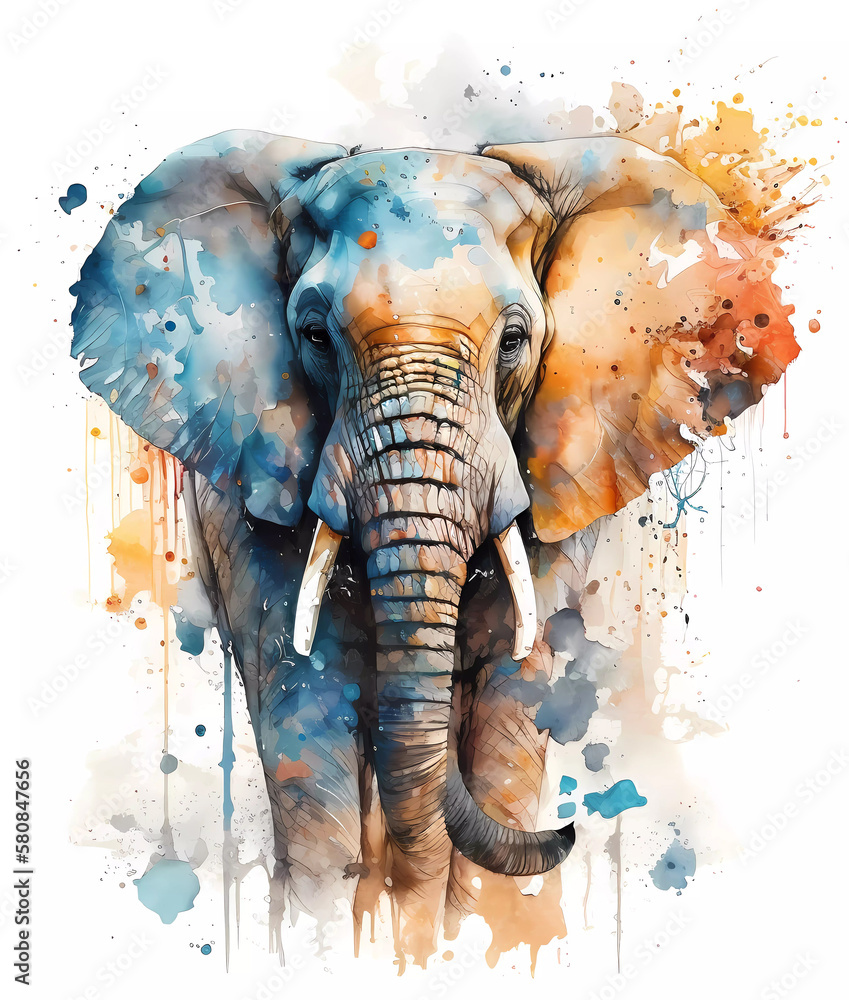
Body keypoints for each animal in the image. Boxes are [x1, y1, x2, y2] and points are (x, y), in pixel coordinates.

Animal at [69, 129, 799, 964]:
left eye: (514, 341)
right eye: (313, 336)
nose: (569, 829)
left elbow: (513, 699)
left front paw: (472, 933)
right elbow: (305, 700)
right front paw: (326, 947)